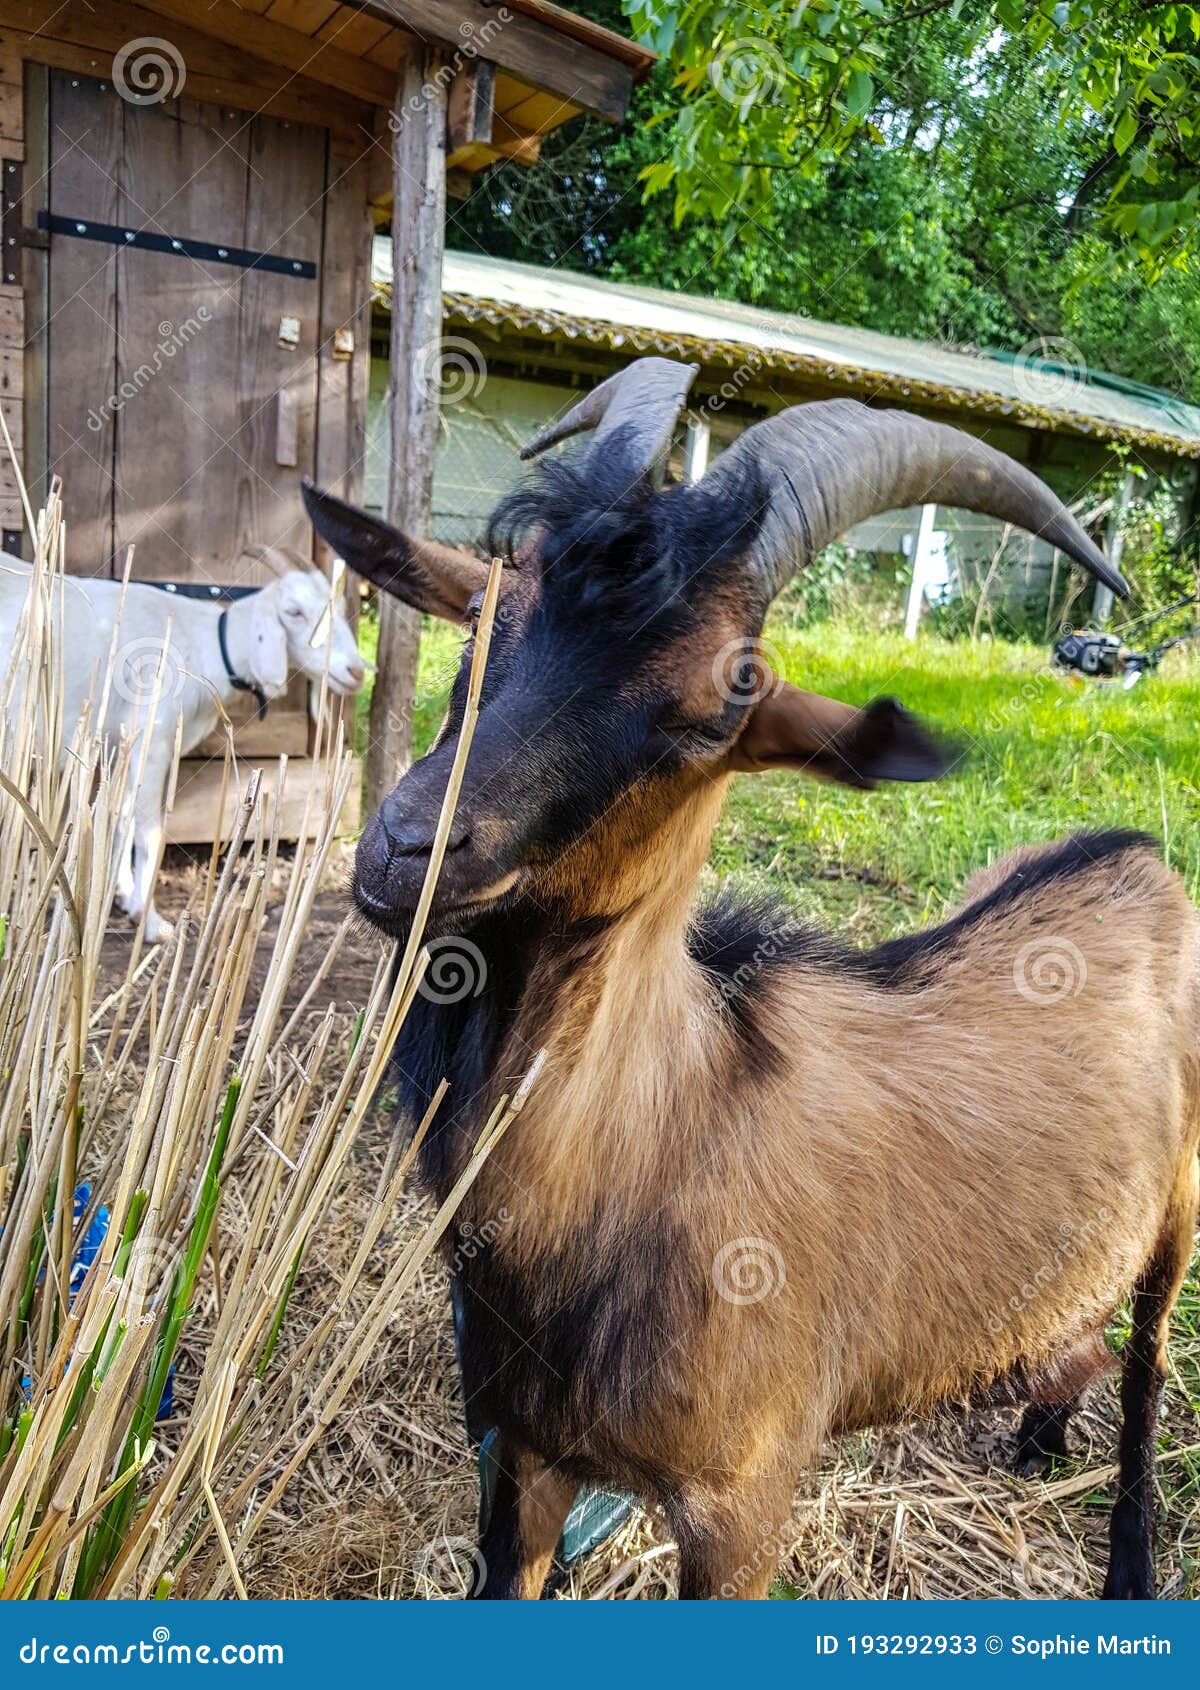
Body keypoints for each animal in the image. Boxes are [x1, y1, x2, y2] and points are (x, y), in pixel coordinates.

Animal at [0, 546, 364, 941]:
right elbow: (148, 829)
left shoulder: (120, 744)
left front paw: (121, 895)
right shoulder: (154, 740)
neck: (202, 645)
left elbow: (121, 816)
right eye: (294, 612)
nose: (357, 671)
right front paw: (149, 921)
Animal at [304, 359, 1199, 1601]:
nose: (407, 848)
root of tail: (1137, 853)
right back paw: (1036, 1432)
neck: (658, 1139)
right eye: (488, 609)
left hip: (1183, 1205)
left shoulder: (742, 1496)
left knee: (1150, 1358)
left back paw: (1130, 1562)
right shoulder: (520, 1455)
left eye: (723, 704)